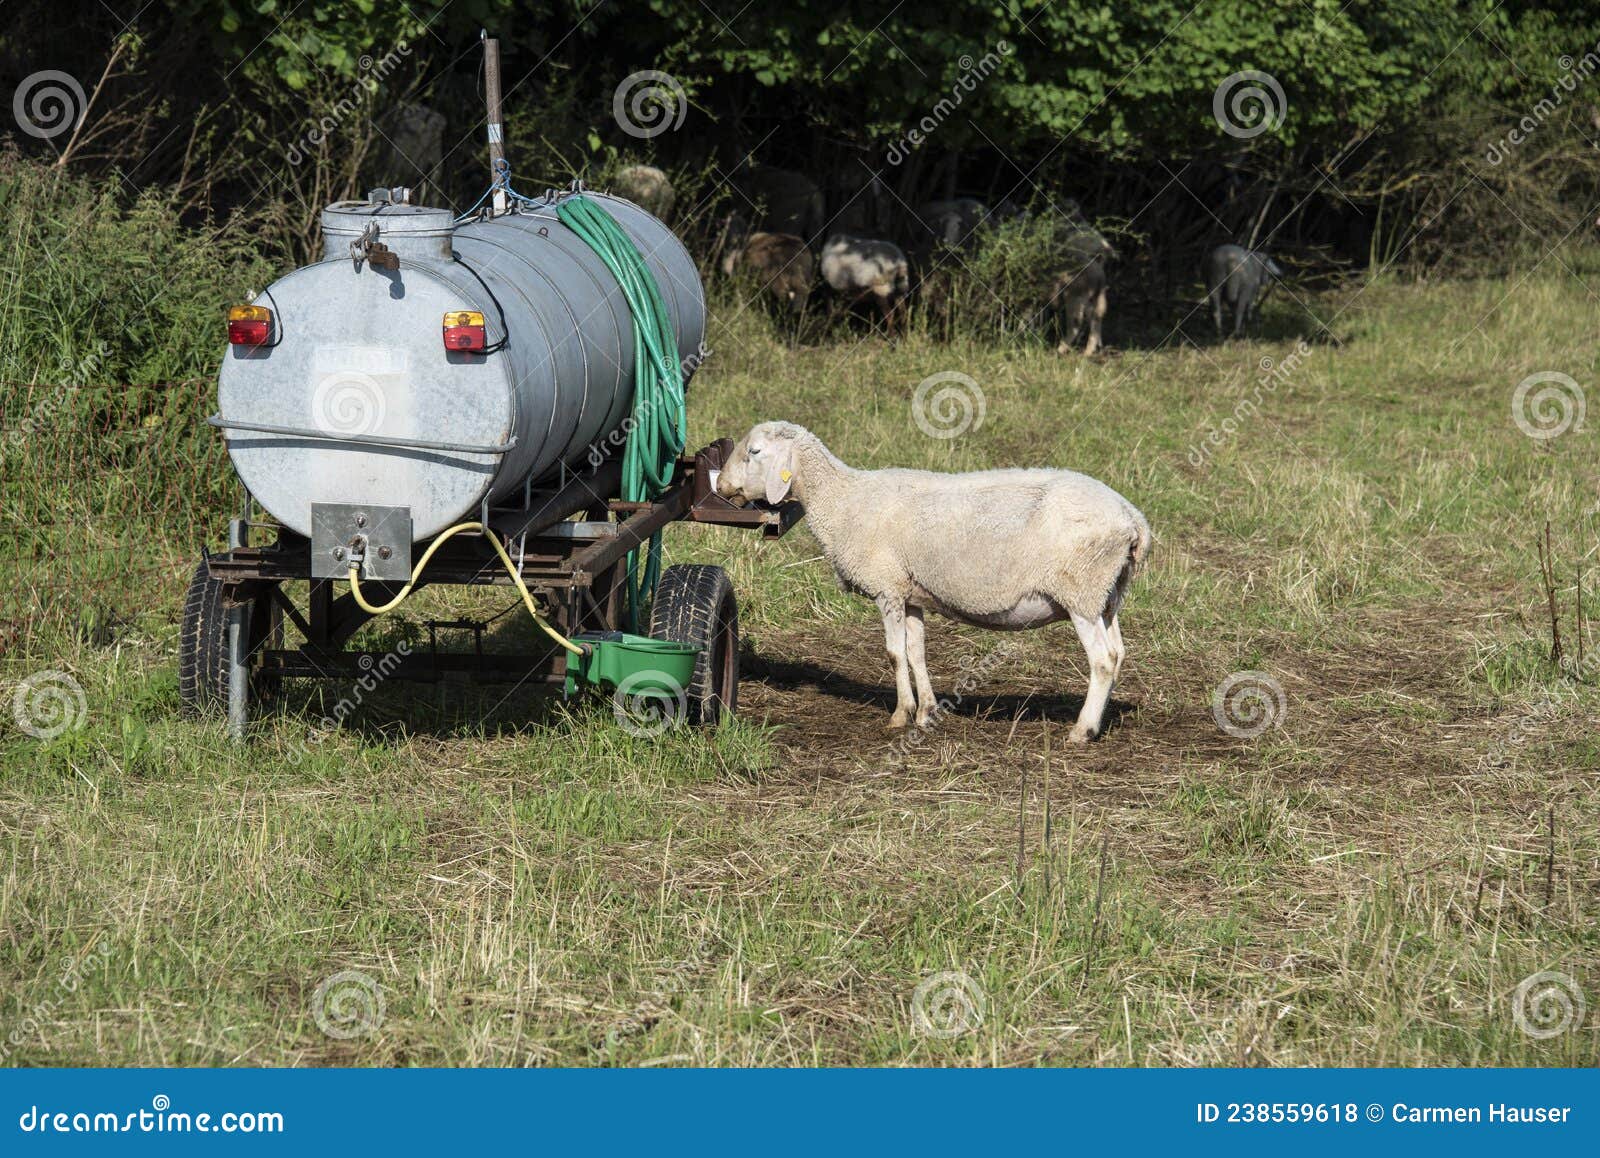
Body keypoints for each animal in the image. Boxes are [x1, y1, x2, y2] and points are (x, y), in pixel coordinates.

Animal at [714, 422, 1151, 742]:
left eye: (755, 452)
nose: (720, 486)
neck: (841, 500)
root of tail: (1133, 519)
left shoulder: (887, 586)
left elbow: (894, 653)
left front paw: (900, 714)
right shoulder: (911, 593)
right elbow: (916, 653)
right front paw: (925, 711)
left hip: (1080, 590)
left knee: (1102, 660)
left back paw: (1083, 729)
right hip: (1107, 595)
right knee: (1118, 653)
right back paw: (1098, 720)